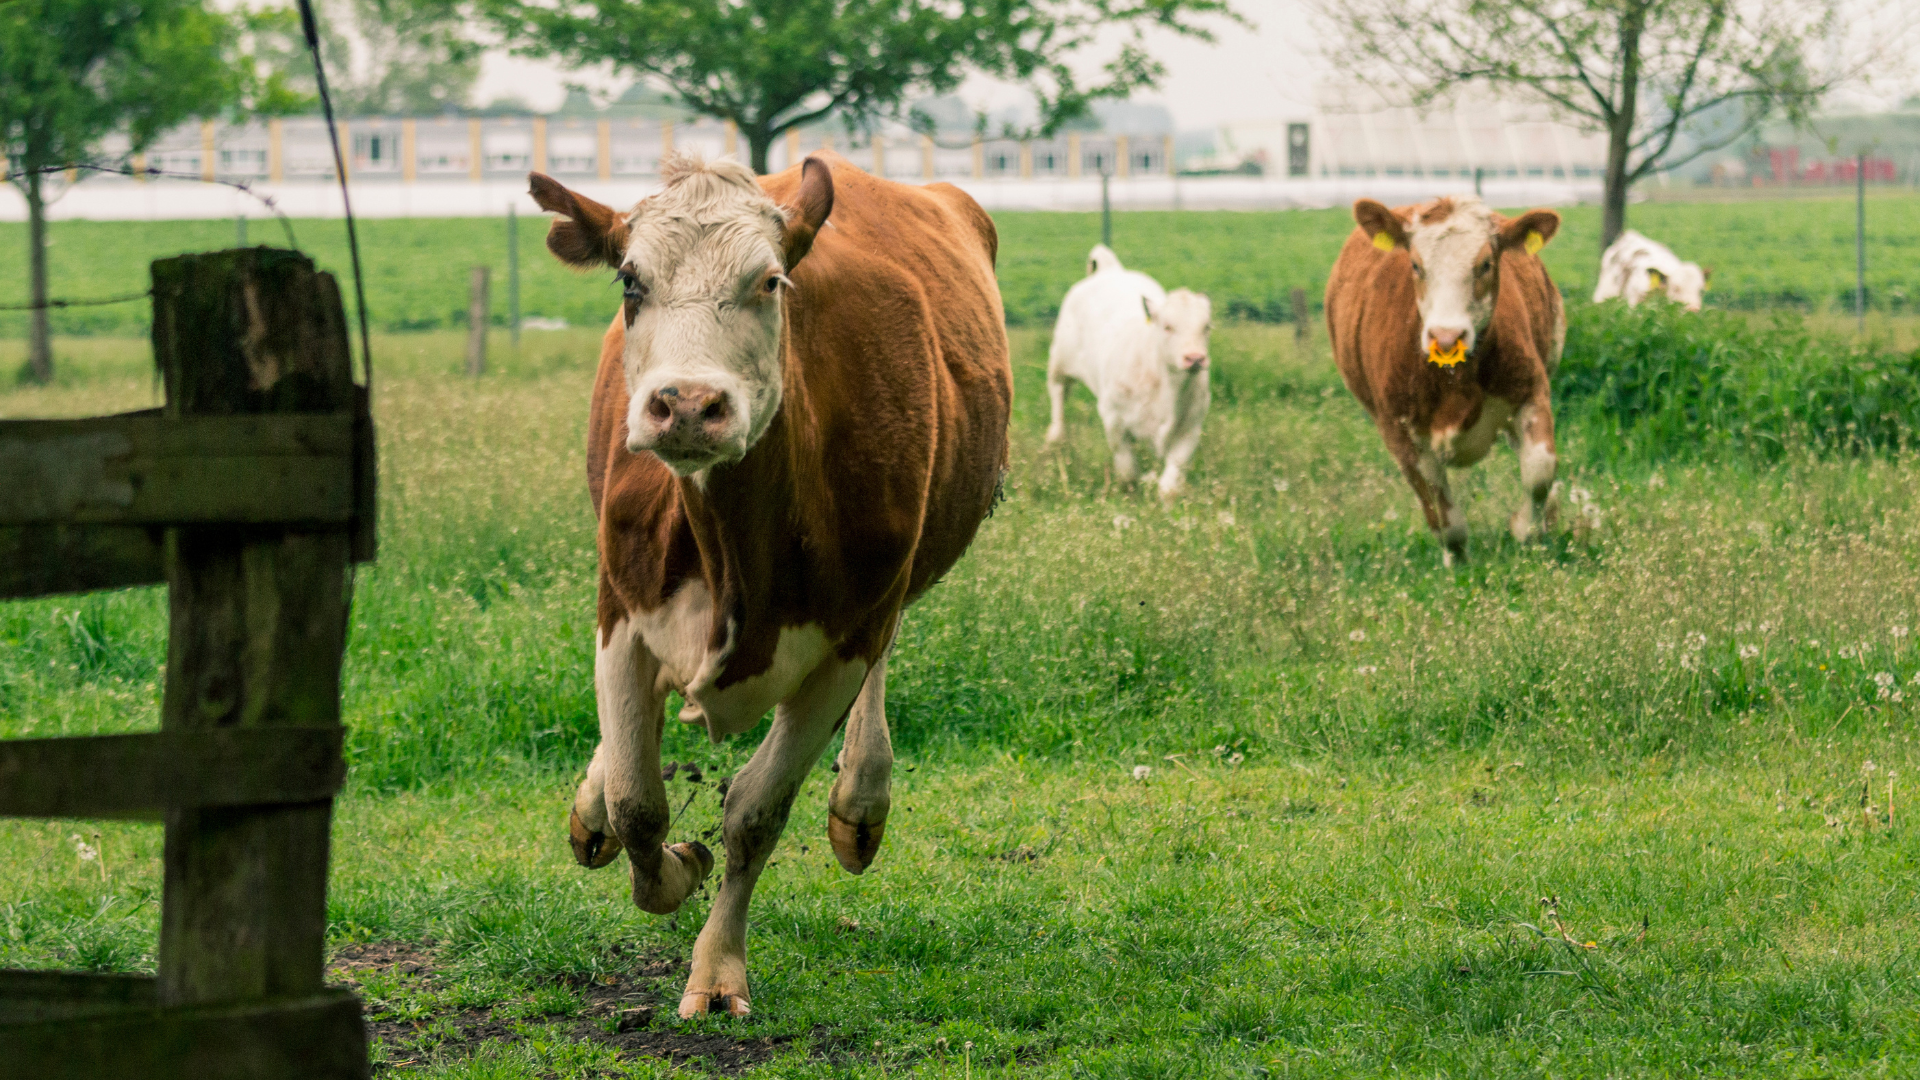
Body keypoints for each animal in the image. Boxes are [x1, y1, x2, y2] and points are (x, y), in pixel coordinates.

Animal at [527, 152, 1011, 1018]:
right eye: (629, 281)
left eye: (771, 281)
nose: (687, 405)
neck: (731, 553)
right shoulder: (620, 613)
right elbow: (637, 801)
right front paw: (668, 855)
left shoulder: (848, 637)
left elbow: (755, 812)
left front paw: (718, 969)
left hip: (893, 586)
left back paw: (861, 802)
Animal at [1045, 244, 1213, 501]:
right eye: (1167, 326)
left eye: (1206, 327)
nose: (1194, 358)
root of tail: (1111, 270)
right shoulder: (1114, 420)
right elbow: (1127, 471)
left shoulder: (1190, 428)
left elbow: (1170, 484)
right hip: (1060, 359)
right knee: (1058, 392)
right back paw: (1056, 436)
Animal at [1325, 195, 1564, 565]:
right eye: (1415, 265)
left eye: (1485, 264)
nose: (1447, 337)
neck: (1455, 379)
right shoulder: (1398, 430)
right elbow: (1440, 512)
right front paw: (1458, 562)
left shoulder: (1531, 392)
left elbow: (1539, 470)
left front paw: (1526, 529)